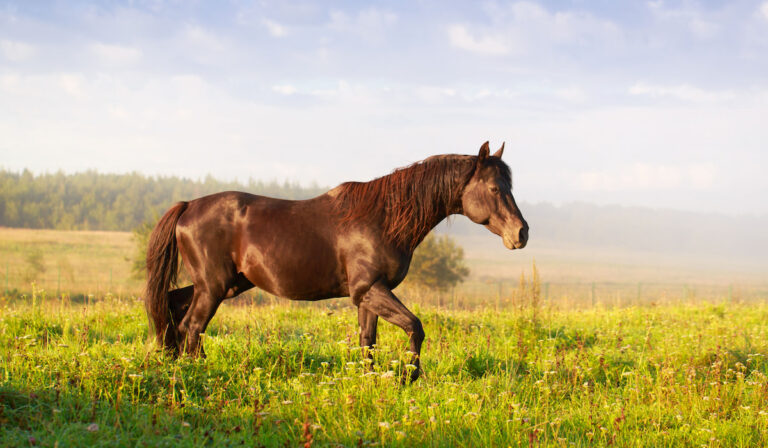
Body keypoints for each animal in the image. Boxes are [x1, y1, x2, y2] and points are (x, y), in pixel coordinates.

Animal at [144, 141, 528, 382]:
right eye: (495, 189)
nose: (521, 233)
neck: (381, 218)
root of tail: (188, 206)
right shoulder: (369, 289)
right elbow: (415, 327)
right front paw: (408, 377)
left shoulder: (367, 296)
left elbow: (367, 341)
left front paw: (372, 381)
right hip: (214, 286)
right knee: (193, 327)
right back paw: (197, 373)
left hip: (225, 284)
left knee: (175, 310)